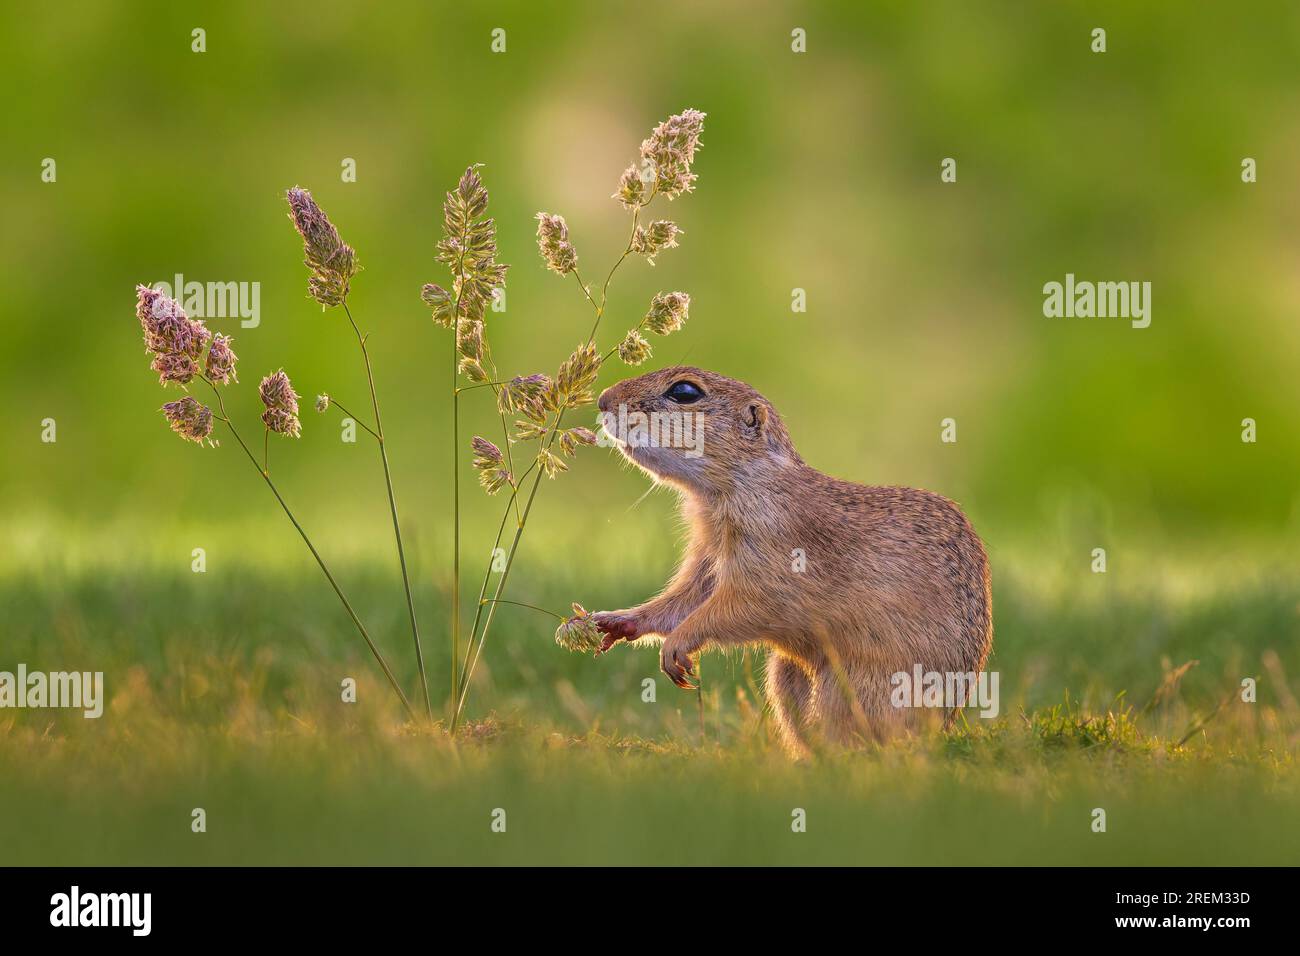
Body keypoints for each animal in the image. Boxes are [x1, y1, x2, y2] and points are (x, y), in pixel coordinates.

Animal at [591, 366, 992, 755]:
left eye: (685, 392)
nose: (603, 400)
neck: (742, 484)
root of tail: (938, 730)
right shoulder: (707, 558)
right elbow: (683, 599)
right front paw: (613, 621)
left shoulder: (772, 562)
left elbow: (736, 608)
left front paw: (676, 645)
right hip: (784, 674)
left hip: (854, 686)